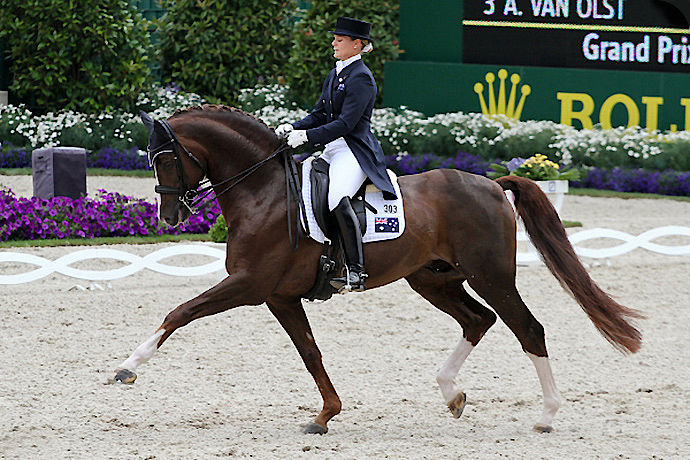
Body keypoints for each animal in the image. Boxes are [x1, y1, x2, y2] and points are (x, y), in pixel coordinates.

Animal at [112, 104, 643, 434]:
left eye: (165, 158)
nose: (169, 216)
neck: (263, 191)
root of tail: (492, 184)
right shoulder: (278, 295)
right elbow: (311, 352)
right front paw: (325, 415)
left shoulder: (249, 284)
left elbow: (182, 311)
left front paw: (128, 367)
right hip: (432, 278)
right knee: (478, 320)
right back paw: (452, 394)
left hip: (491, 276)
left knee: (527, 329)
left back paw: (547, 416)